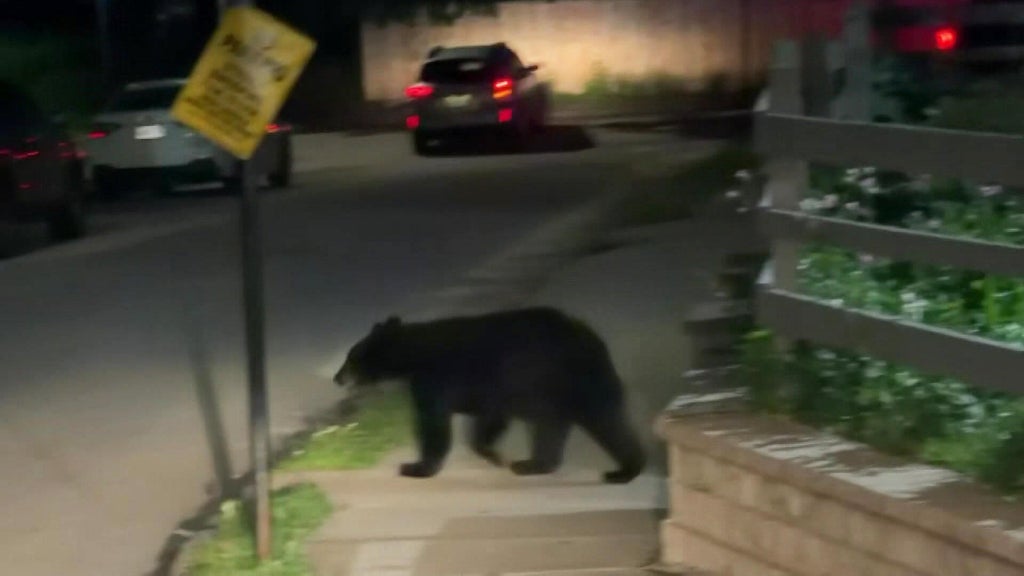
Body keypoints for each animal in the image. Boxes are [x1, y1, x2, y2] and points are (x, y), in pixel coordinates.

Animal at [333, 306, 647, 484]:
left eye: (350, 358)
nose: (337, 378)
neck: (414, 353)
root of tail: (591, 338)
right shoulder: (490, 391)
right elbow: (489, 420)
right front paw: (494, 455)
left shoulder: (437, 379)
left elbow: (434, 423)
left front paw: (415, 467)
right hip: (578, 386)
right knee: (599, 422)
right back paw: (621, 469)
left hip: (560, 382)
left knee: (573, 423)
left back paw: (535, 464)